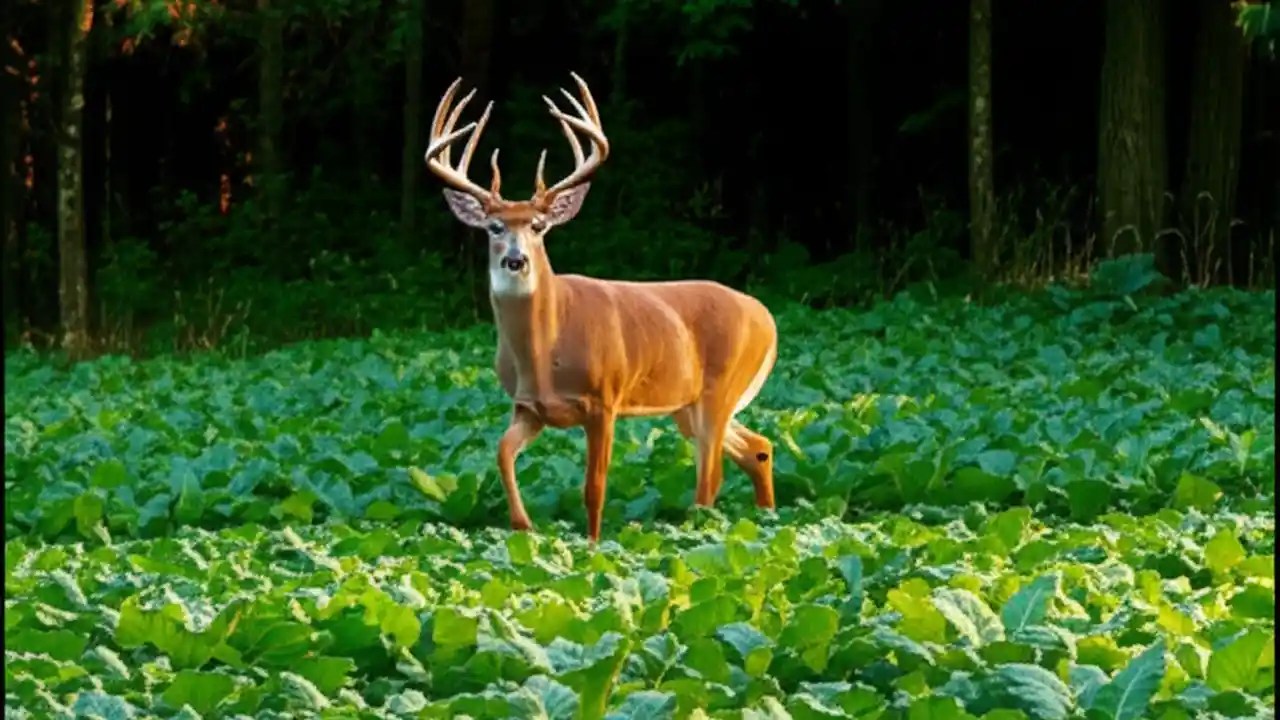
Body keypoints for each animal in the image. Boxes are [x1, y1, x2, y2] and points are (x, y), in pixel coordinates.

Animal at [423, 73, 779, 542]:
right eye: (494, 227)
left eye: (538, 226)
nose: (515, 260)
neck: (544, 353)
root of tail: (768, 318)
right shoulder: (528, 407)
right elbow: (501, 454)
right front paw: (524, 526)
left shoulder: (604, 399)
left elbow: (595, 487)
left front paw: (592, 548)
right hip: (687, 405)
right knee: (758, 447)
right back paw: (764, 520)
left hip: (718, 389)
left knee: (710, 477)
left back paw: (698, 534)